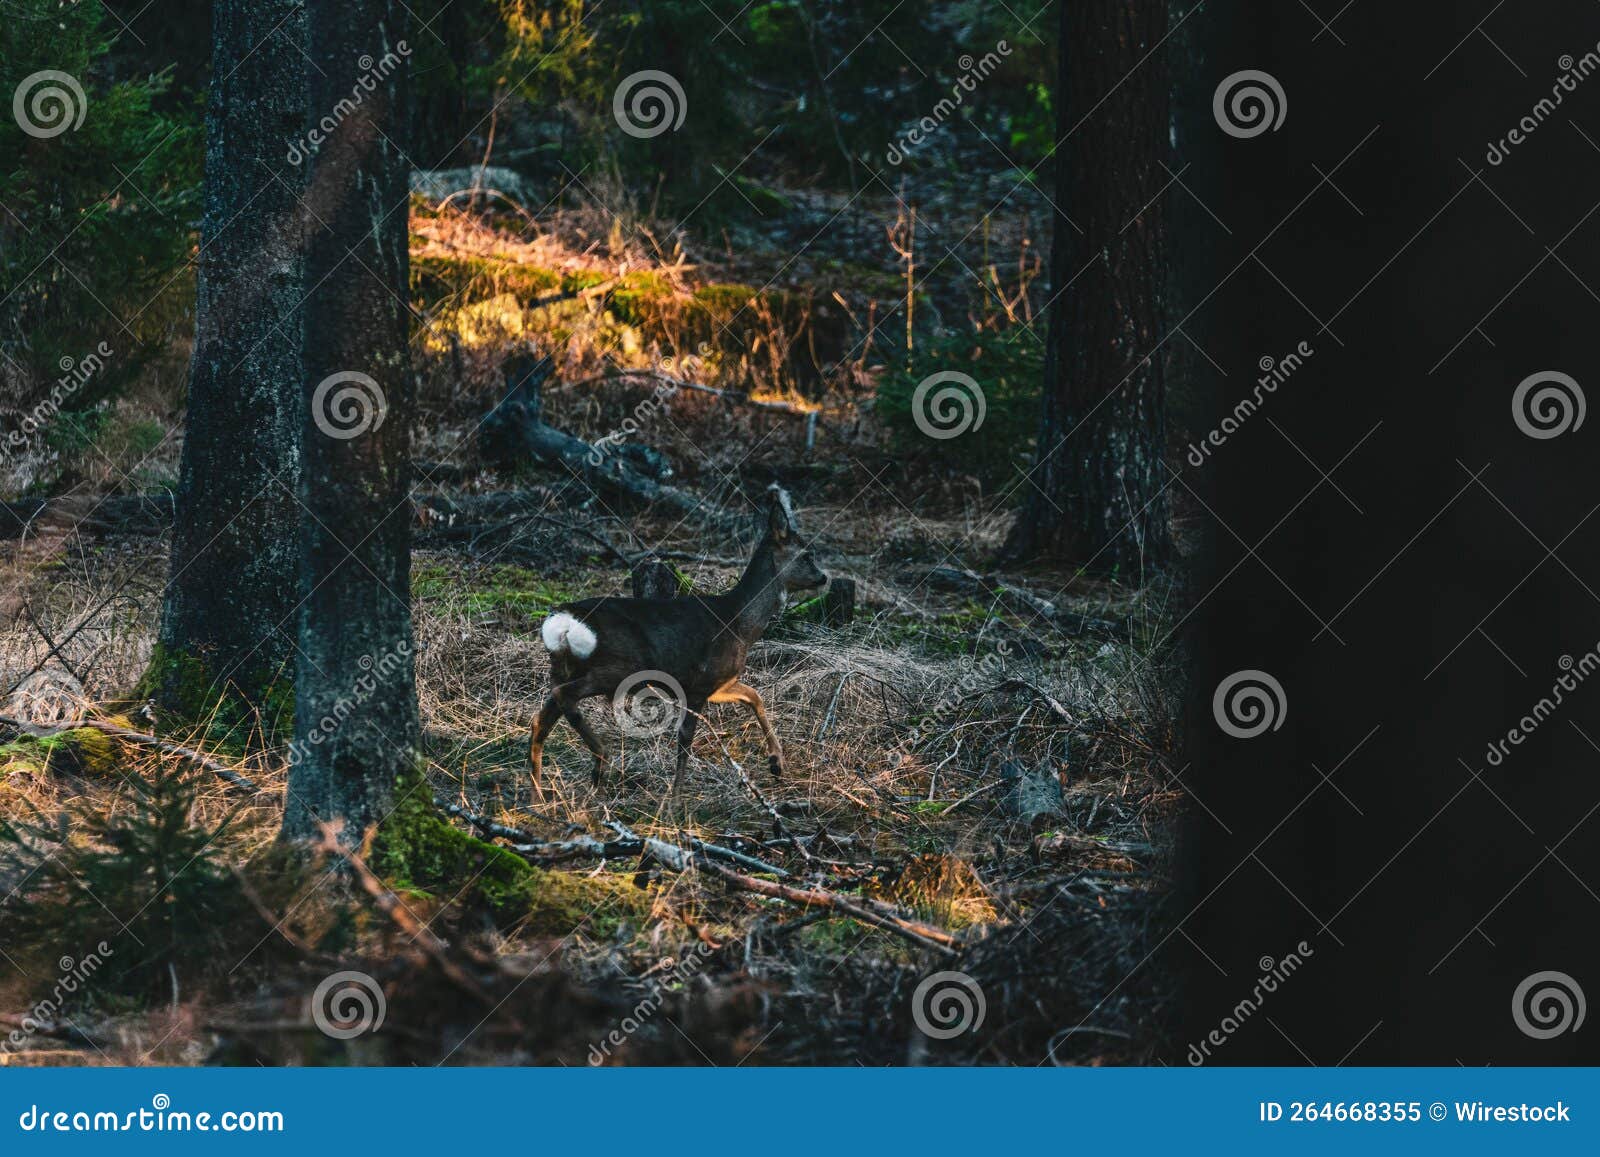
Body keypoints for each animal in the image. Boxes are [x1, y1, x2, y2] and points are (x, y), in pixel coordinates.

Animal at [529, 484, 828, 799]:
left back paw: (538, 795)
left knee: (541, 720)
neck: (740, 623)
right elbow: (685, 740)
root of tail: (563, 622)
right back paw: (601, 760)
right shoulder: (698, 684)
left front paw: (777, 763)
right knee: (563, 697)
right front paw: (676, 800)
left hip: (564, 669)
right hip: (615, 668)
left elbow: (754, 696)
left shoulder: (718, 684)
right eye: (807, 555)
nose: (823, 577)